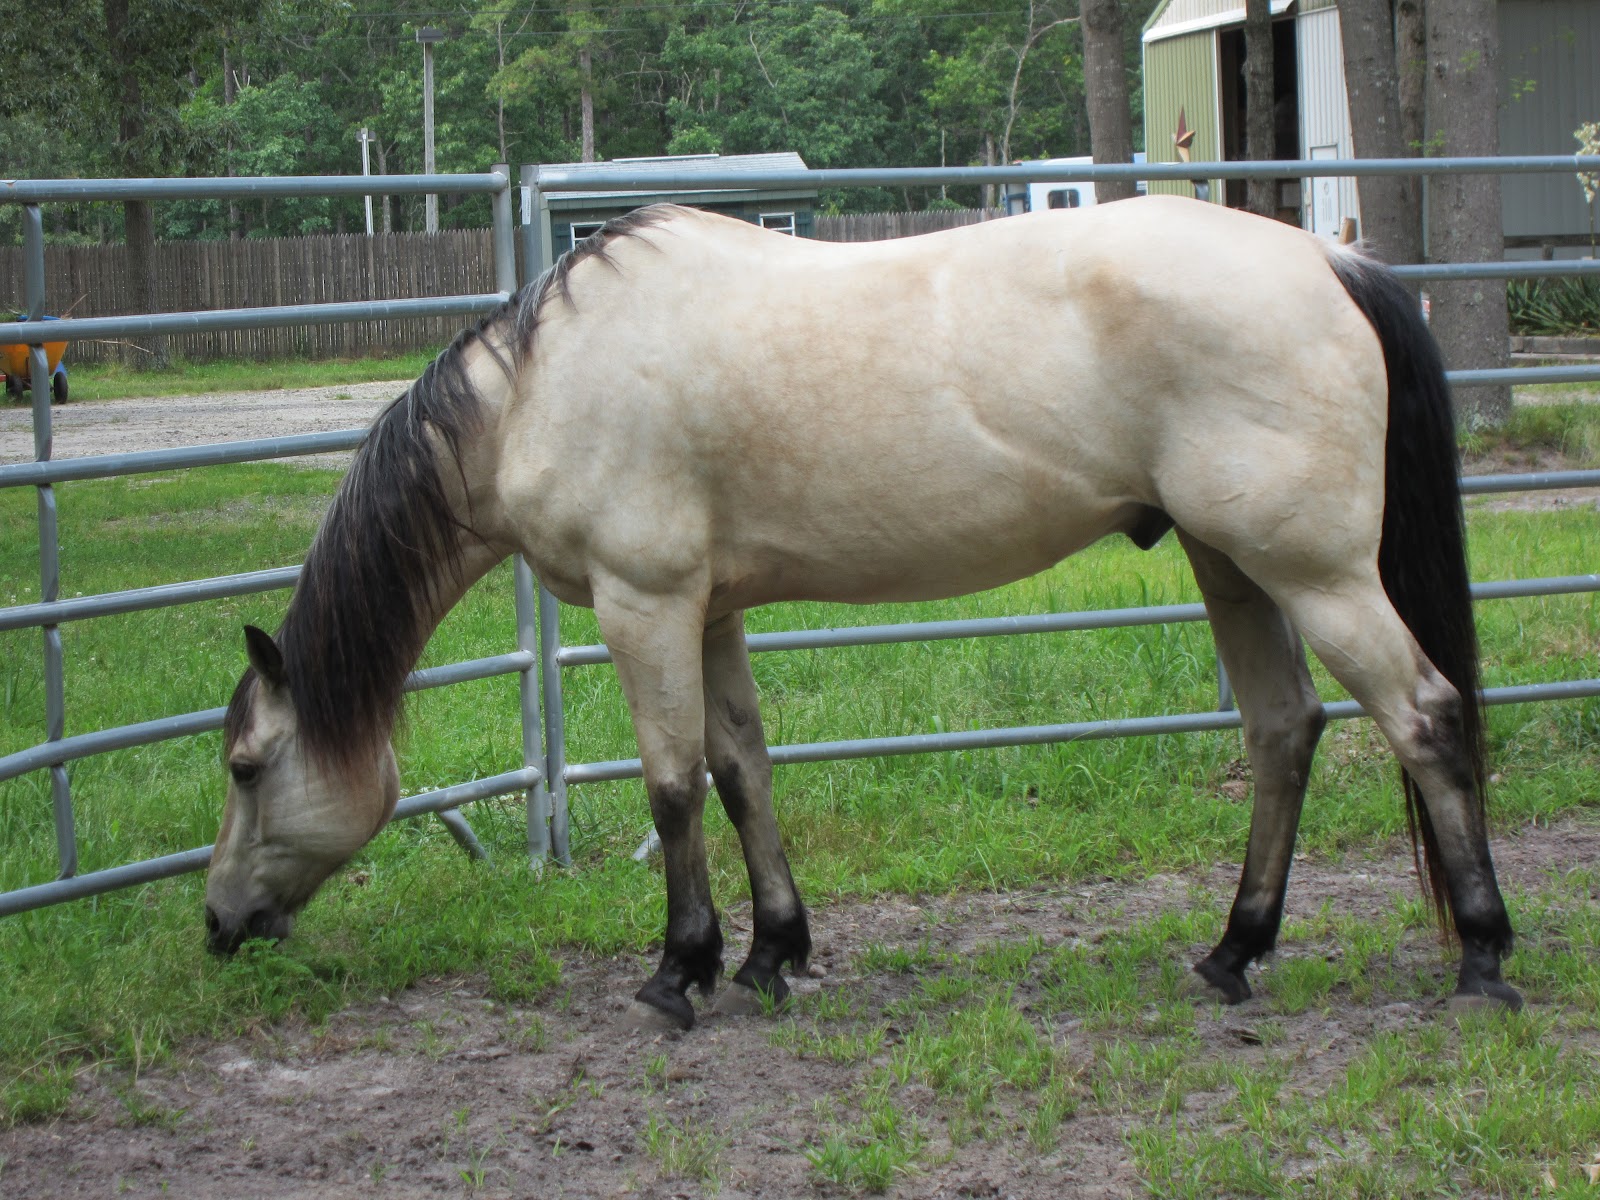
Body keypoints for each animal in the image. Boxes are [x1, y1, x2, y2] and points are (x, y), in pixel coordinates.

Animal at [204, 197, 1522, 1029]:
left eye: (245, 766)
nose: (219, 926)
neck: (539, 390)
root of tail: (1331, 264)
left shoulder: (645, 604)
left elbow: (672, 786)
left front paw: (678, 973)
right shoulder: (710, 610)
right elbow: (740, 768)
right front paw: (769, 955)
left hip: (1316, 571)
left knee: (1424, 716)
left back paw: (1483, 957)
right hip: (1234, 564)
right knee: (1283, 729)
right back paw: (1232, 953)